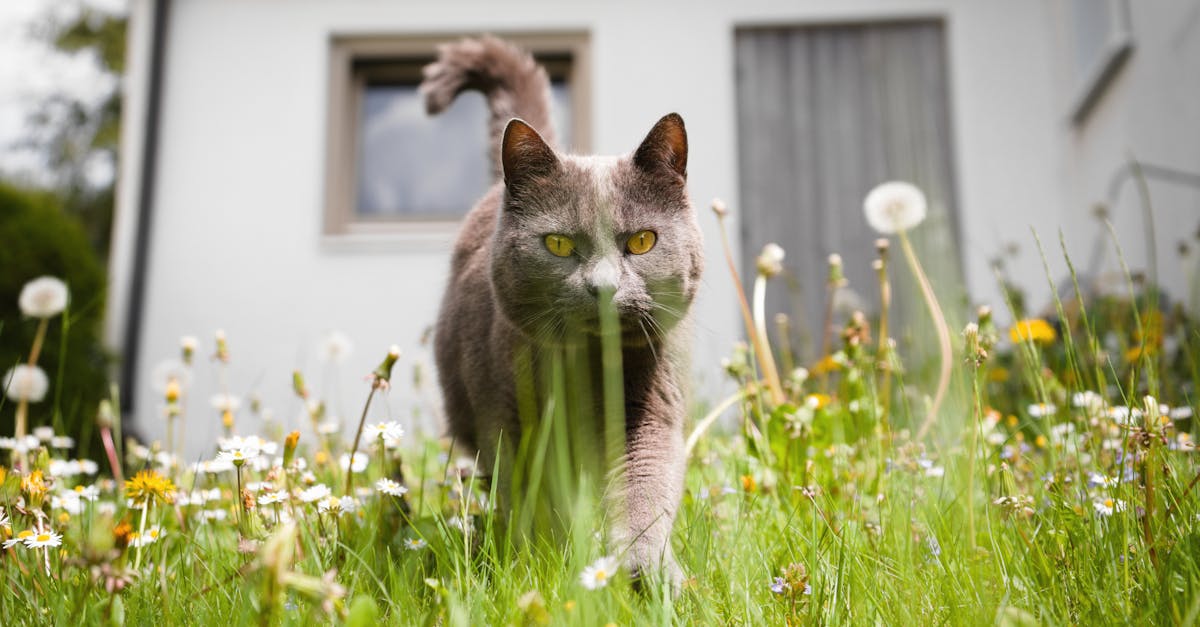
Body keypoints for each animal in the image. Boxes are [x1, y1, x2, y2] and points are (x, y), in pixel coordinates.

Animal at [424, 35, 700, 581]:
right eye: (557, 244)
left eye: (642, 241)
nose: (603, 287)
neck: (586, 367)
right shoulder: (508, 421)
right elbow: (530, 497)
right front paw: (539, 566)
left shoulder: (651, 405)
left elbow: (645, 487)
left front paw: (645, 571)